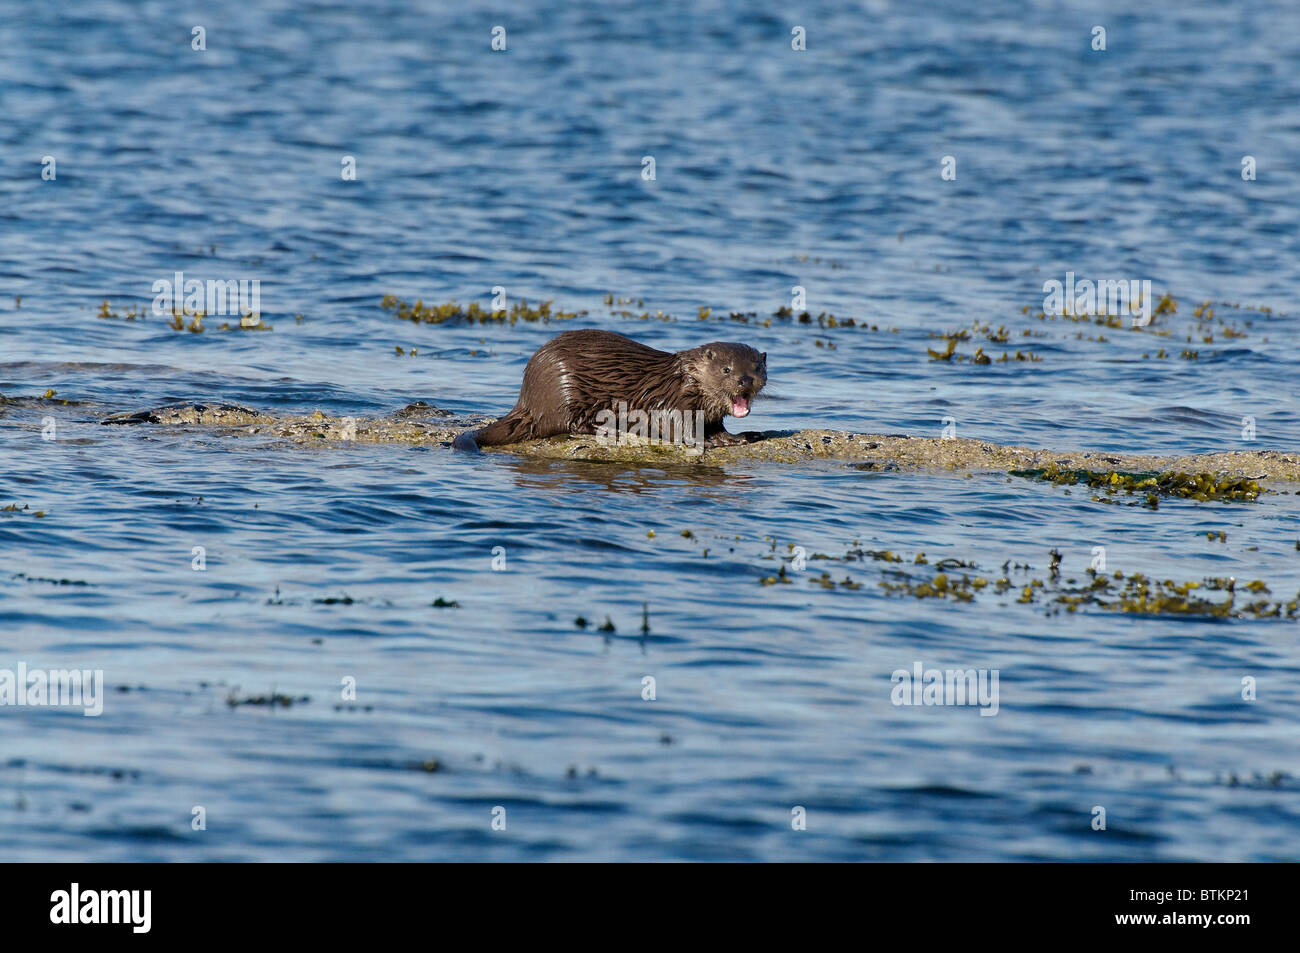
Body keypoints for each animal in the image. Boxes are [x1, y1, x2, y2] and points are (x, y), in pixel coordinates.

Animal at [453, 329, 767, 451]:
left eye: (757, 368)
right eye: (726, 369)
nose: (745, 381)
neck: (685, 380)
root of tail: (528, 399)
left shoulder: (711, 414)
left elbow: (720, 428)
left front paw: (739, 437)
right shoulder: (674, 401)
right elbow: (677, 429)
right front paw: (709, 443)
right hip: (564, 392)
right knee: (568, 424)